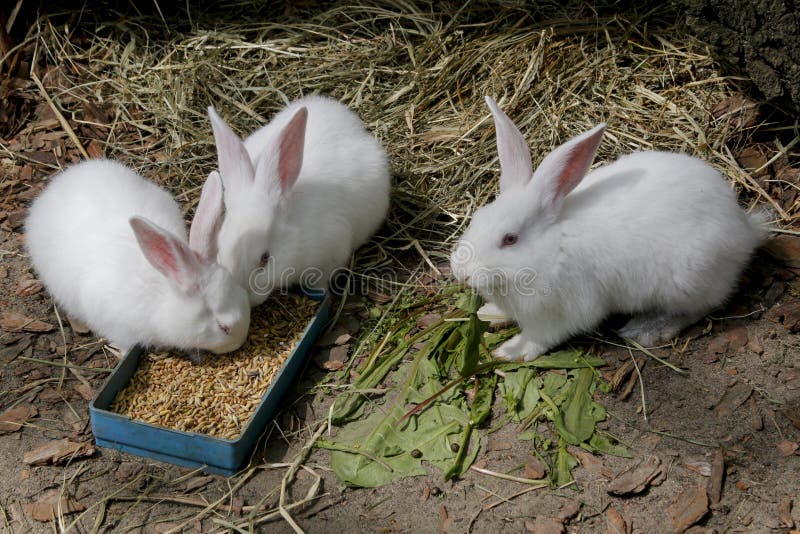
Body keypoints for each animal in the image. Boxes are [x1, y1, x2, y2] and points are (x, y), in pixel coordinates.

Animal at [450, 96, 767, 361]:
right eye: (477, 218)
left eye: (510, 239)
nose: (461, 273)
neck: (551, 246)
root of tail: (744, 229)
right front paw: (488, 313)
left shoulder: (564, 311)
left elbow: (541, 336)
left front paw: (511, 351)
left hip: (686, 282)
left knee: (701, 308)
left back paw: (646, 329)